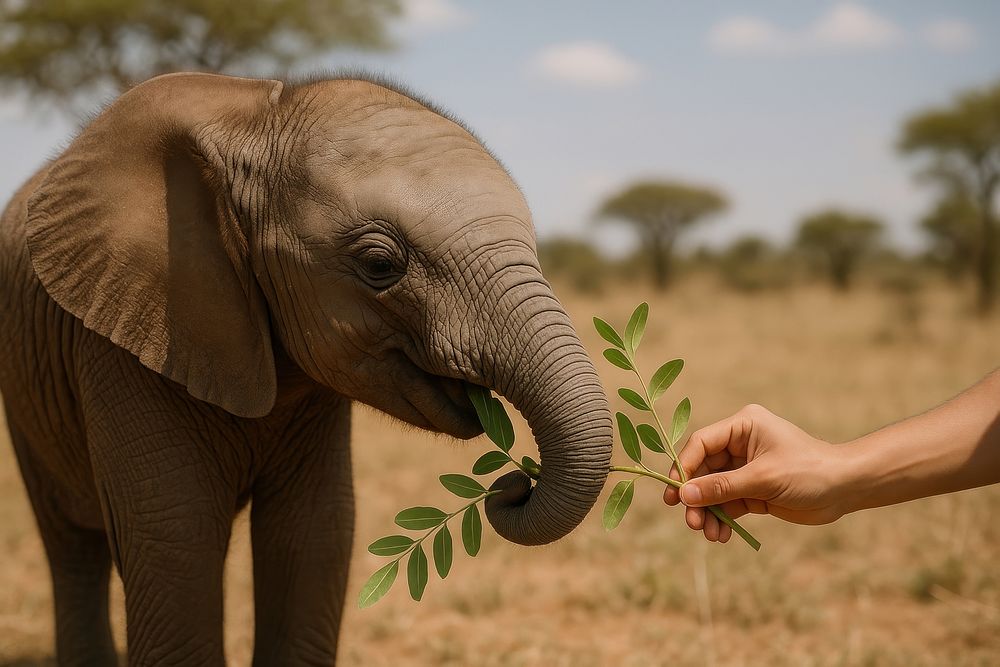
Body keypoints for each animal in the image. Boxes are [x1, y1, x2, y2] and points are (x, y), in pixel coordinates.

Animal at [0, 72, 612, 665]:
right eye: (379, 264)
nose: (514, 482)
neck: (255, 118)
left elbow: (314, 532)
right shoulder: (124, 343)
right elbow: (177, 535)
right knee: (72, 546)